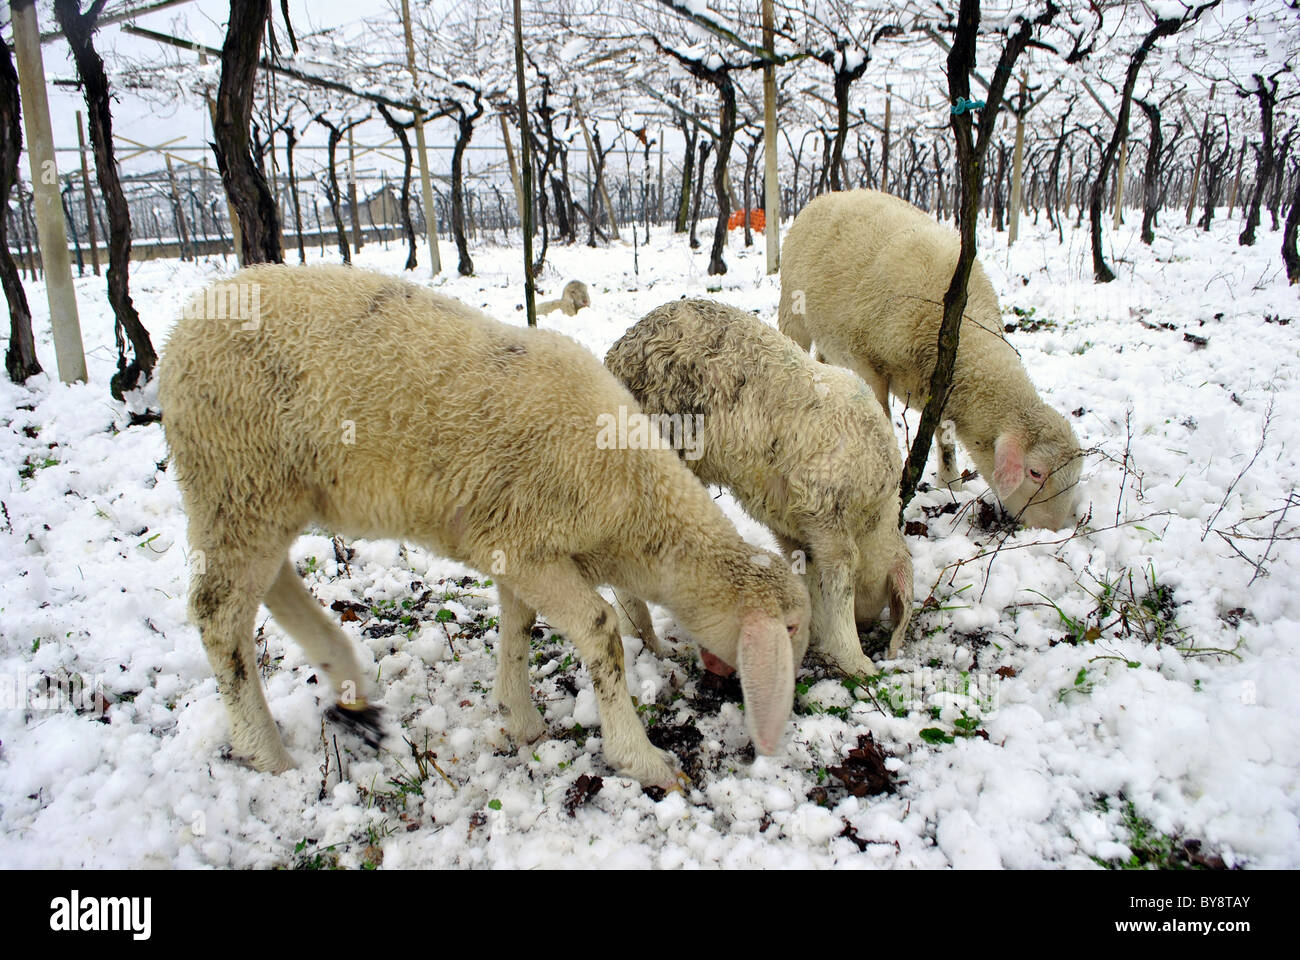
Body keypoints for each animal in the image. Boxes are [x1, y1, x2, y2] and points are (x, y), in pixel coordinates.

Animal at [157, 264, 809, 790]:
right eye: (793, 627)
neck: (636, 513)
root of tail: (184, 324)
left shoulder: (516, 544)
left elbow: (518, 625)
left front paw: (520, 719)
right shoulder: (526, 545)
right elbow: (601, 631)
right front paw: (641, 758)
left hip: (263, 492)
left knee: (268, 583)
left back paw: (343, 677)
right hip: (235, 473)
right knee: (219, 613)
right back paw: (266, 753)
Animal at [606, 299, 913, 678]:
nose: (869, 627)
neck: (872, 517)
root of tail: (617, 354)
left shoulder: (794, 522)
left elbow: (809, 575)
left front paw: (812, 634)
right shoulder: (829, 513)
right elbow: (840, 582)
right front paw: (857, 663)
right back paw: (651, 644)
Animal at [778, 189, 1083, 530]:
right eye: (1035, 473)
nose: (1054, 529)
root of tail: (832, 194)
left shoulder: (941, 385)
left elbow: (945, 438)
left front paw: (951, 483)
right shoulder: (871, 365)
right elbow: (884, 419)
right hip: (792, 308)